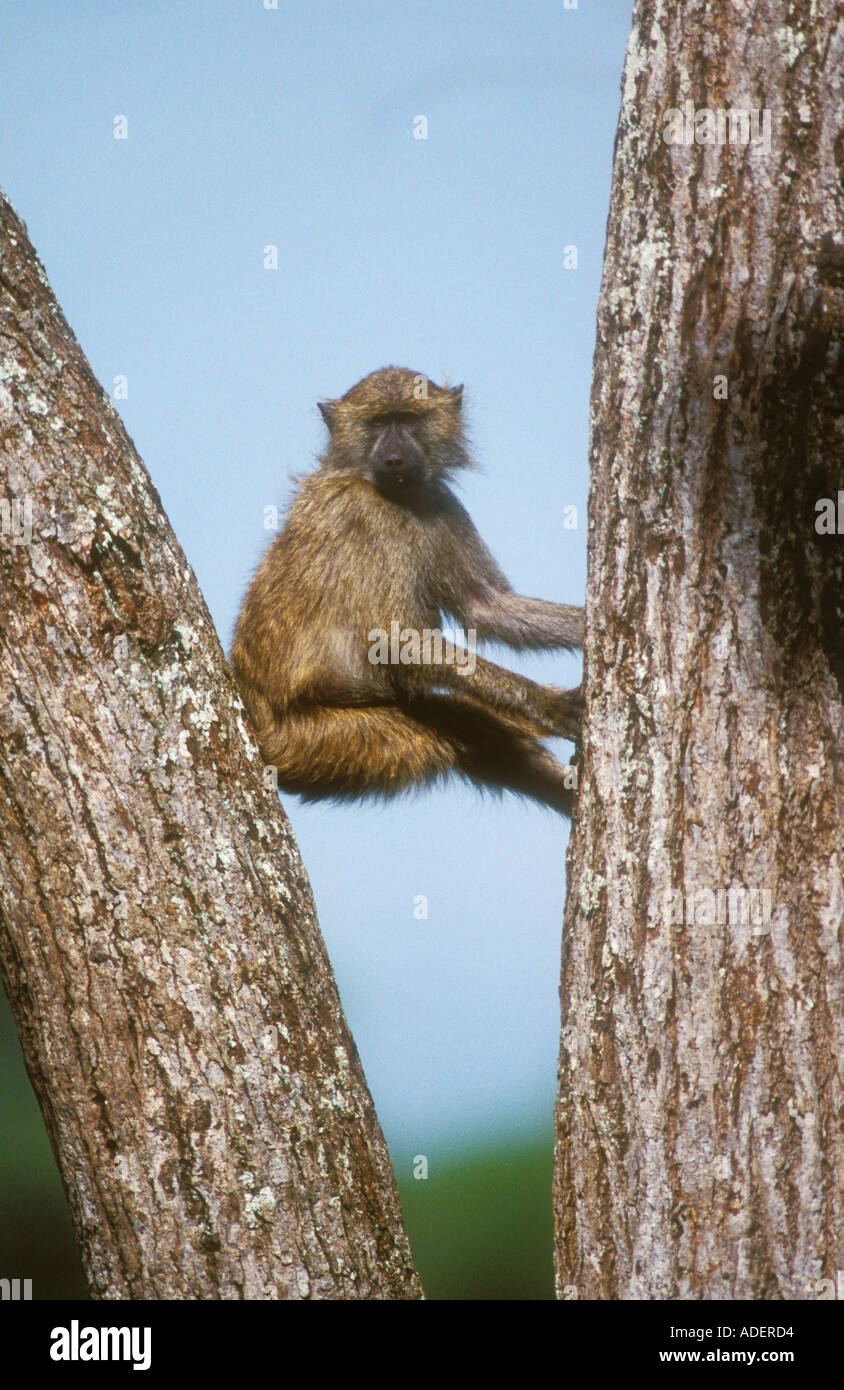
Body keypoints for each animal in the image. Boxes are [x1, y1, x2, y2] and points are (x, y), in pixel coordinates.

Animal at [230, 367, 585, 816]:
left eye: (410, 420)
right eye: (379, 423)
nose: (395, 459)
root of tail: (261, 729)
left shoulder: (440, 499)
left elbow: (487, 606)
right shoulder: (369, 516)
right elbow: (396, 641)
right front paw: (548, 704)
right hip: (327, 740)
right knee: (457, 724)